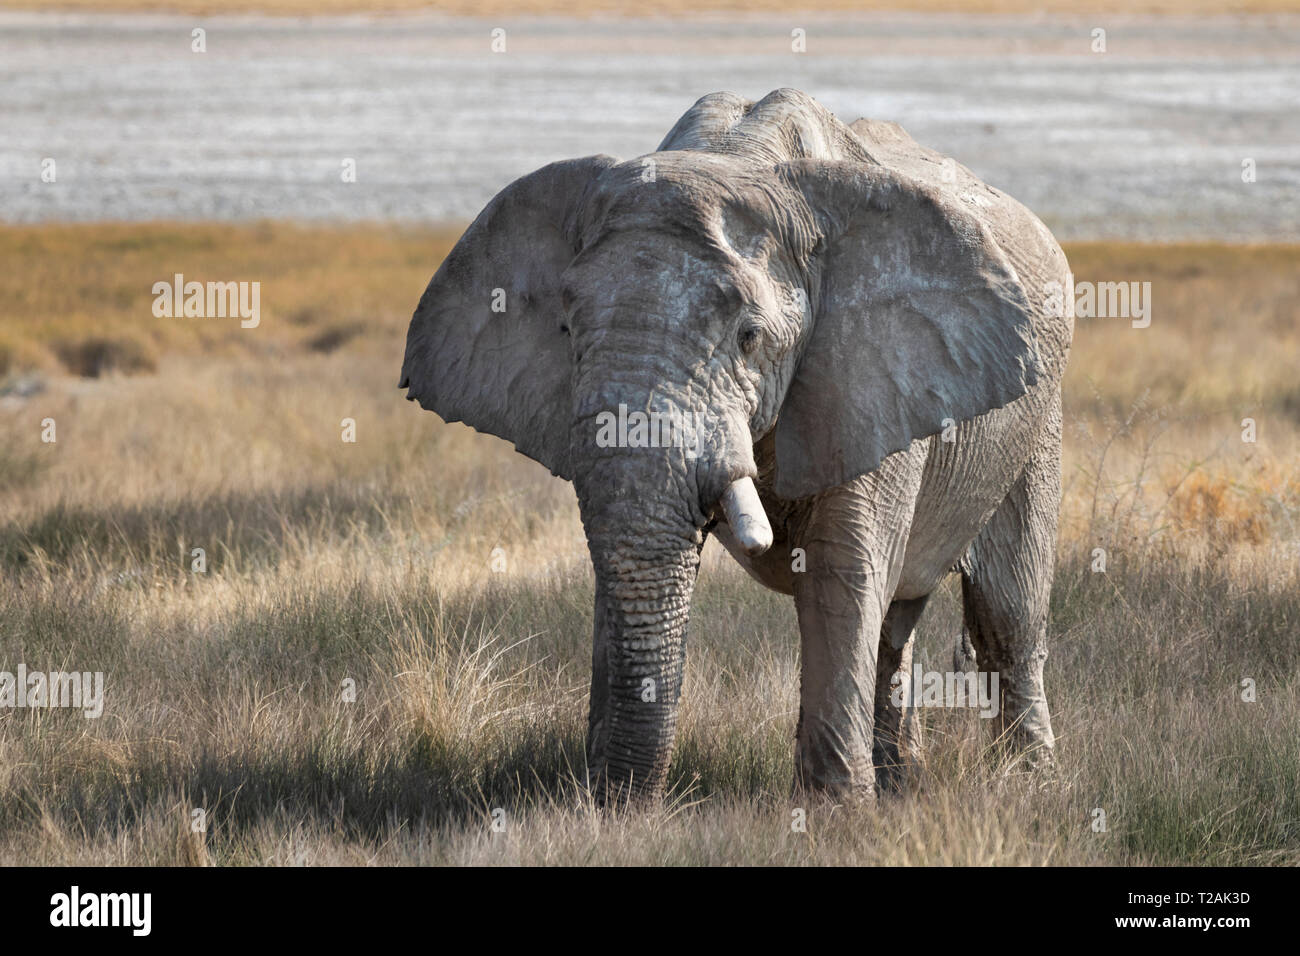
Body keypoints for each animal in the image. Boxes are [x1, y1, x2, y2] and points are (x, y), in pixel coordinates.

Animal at [401, 88, 1073, 804]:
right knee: (900, 621)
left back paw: (1031, 786)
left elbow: (841, 570)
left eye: (749, 337)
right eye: (565, 329)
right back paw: (902, 783)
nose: (619, 800)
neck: (737, 158)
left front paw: (837, 813)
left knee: (1007, 611)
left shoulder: (875, 374)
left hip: (1039, 416)